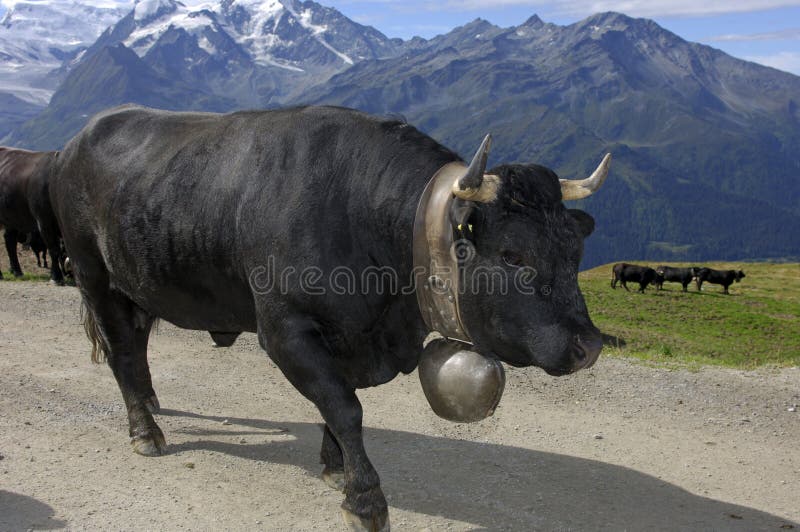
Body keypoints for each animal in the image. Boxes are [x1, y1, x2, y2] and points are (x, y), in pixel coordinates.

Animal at [0, 147, 64, 283]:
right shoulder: (44, 222)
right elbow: (54, 249)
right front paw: (56, 277)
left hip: (13, 218)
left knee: (10, 241)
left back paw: (17, 271)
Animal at [50, 105, 611, 531]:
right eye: (513, 254)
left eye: (574, 249)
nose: (589, 346)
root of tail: (82, 135)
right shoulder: (286, 331)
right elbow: (345, 409)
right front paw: (365, 499)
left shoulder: (348, 338)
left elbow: (335, 405)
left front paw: (334, 466)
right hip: (95, 276)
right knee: (122, 353)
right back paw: (145, 431)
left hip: (139, 282)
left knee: (137, 345)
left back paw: (150, 402)